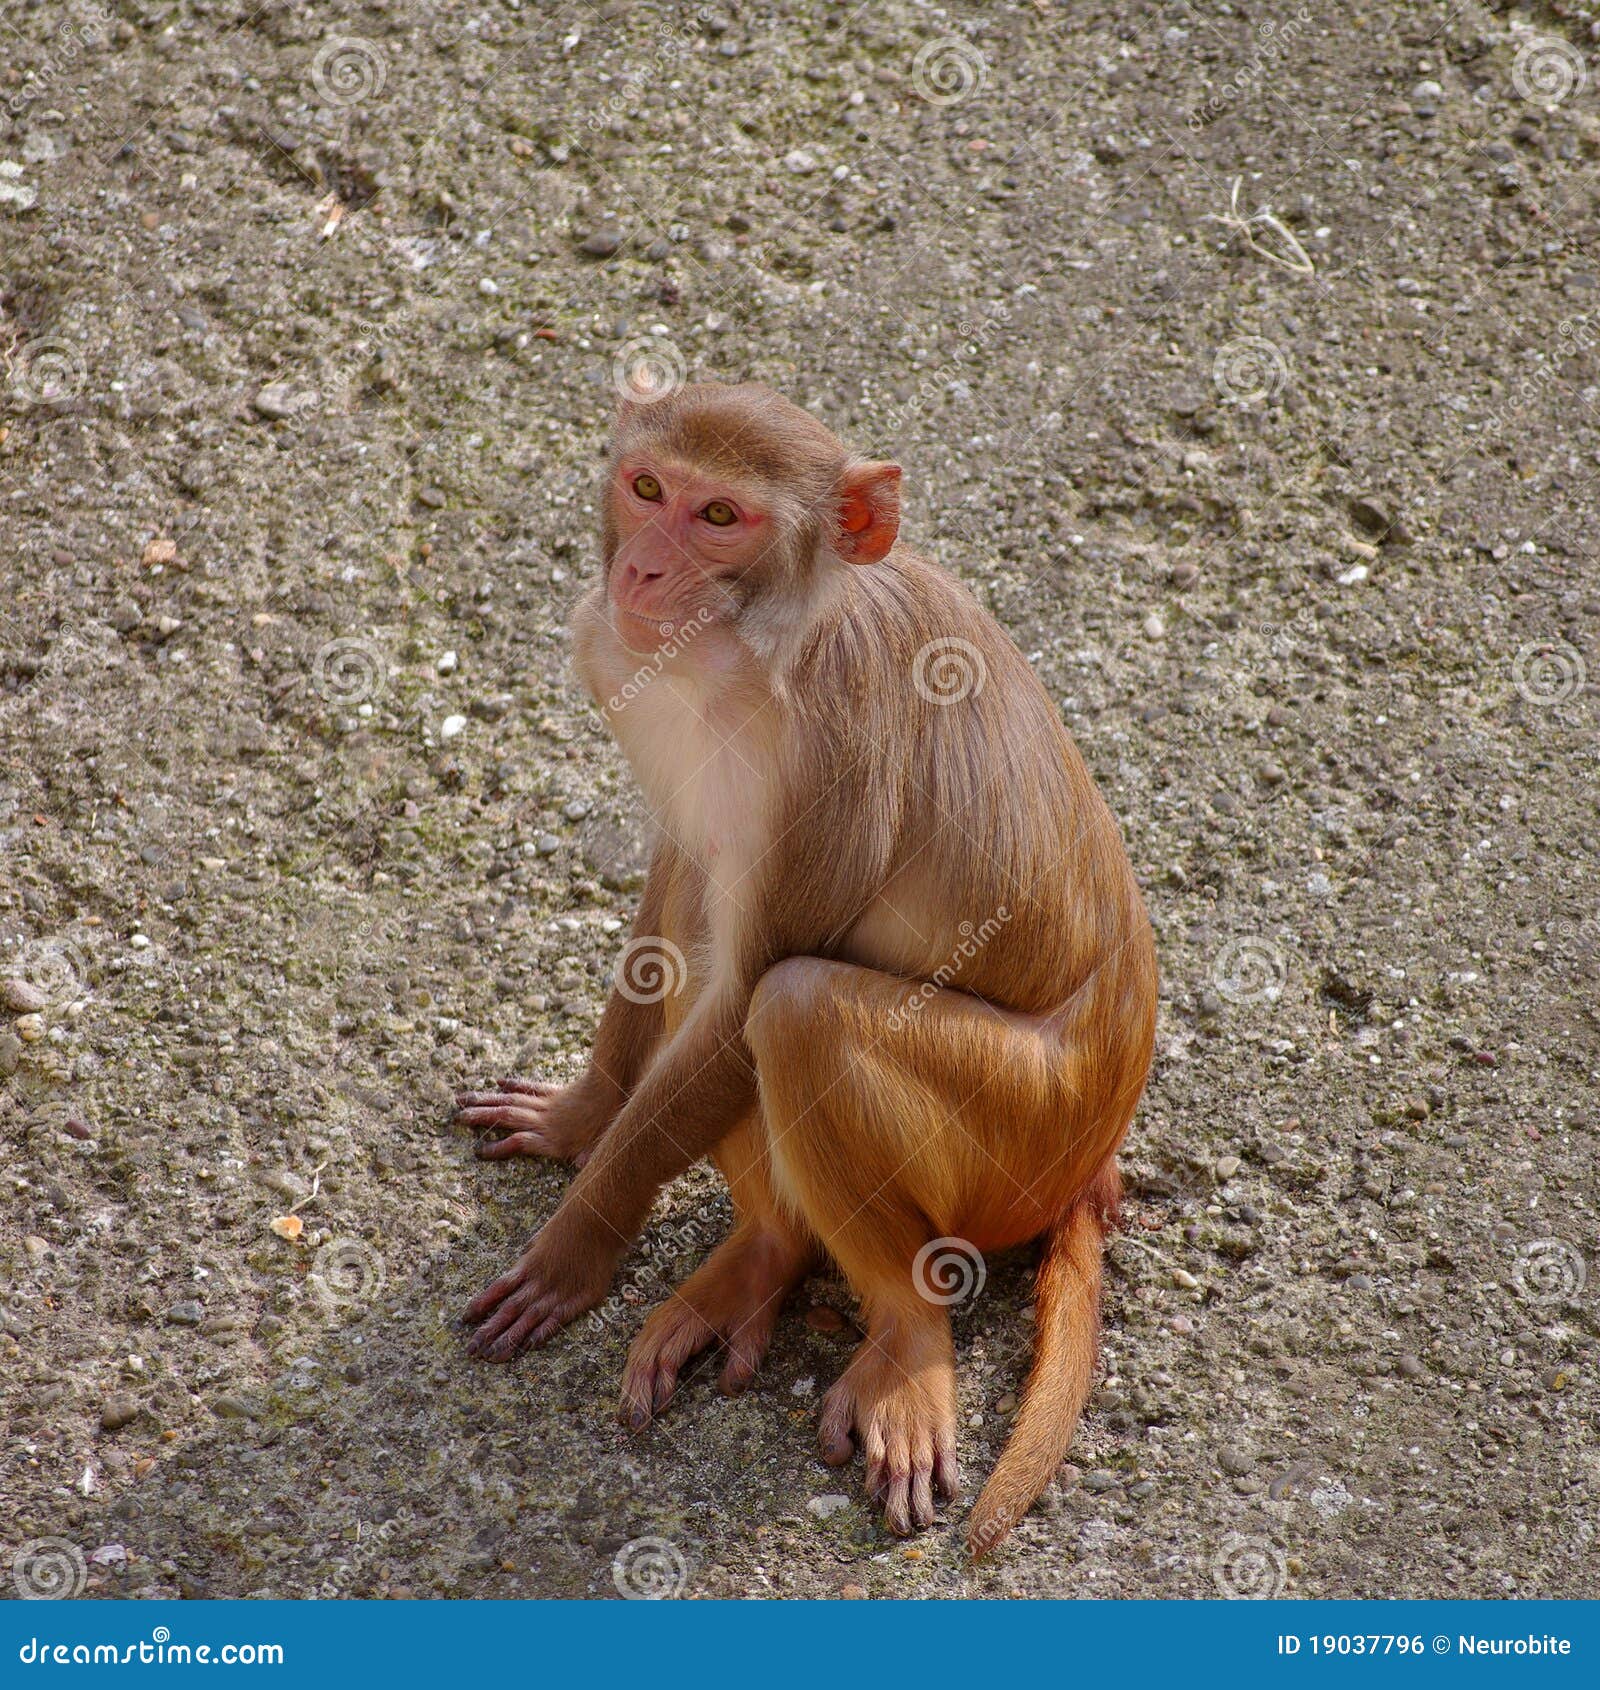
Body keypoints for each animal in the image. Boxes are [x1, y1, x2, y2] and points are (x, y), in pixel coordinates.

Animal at [454, 380, 1157, 1556]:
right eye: (647, 488)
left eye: (719, 517)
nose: (641, 573)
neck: (750, 650)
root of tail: (1090, 1167)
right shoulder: (618, 654)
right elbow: (680, 875)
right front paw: (584, 1117)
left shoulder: (837, 742)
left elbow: (751, 988)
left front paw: (573, 1251)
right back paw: (764, 1257)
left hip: (1019, 1144)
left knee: (796, 1009)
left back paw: (909, 1344)